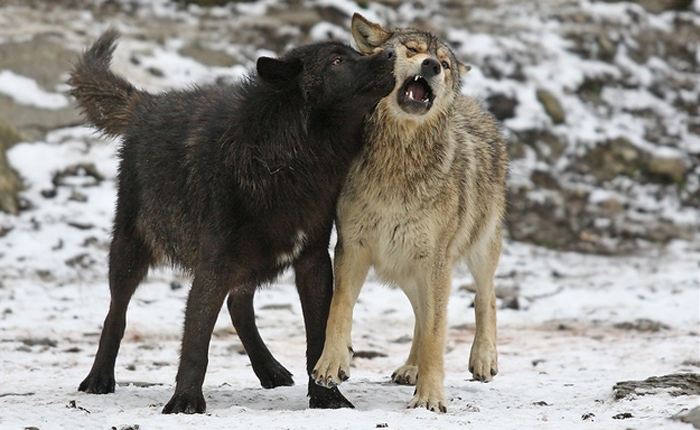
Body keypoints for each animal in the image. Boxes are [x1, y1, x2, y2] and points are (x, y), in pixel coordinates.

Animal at [68, 29, 395, 414]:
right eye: (337, 61)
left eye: (354, 51)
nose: (391, 53)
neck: (285, 159)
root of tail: (147, 103)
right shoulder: (214, 266)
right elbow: (196, 343)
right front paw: (185, 401)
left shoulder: (313, 261)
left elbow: (318, 336)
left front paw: (327, 398)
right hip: (130, 254)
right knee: (115, 315)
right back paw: (98, 379)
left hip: (246, 265)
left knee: (238, 307)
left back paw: (269, 370)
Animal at [312, 14, 507, 412]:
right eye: (411, 50)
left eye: (444, 65)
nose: (430, 66)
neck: (397, 162)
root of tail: (476, 106)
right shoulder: (353, 248)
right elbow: (340, 307)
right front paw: (332, 363)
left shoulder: (434, 260)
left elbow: (436, 333)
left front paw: (431, 397)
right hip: (405, 267)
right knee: (421, 314)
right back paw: (411, 368)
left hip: (474, 250)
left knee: (486, 296)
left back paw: (483, 358)